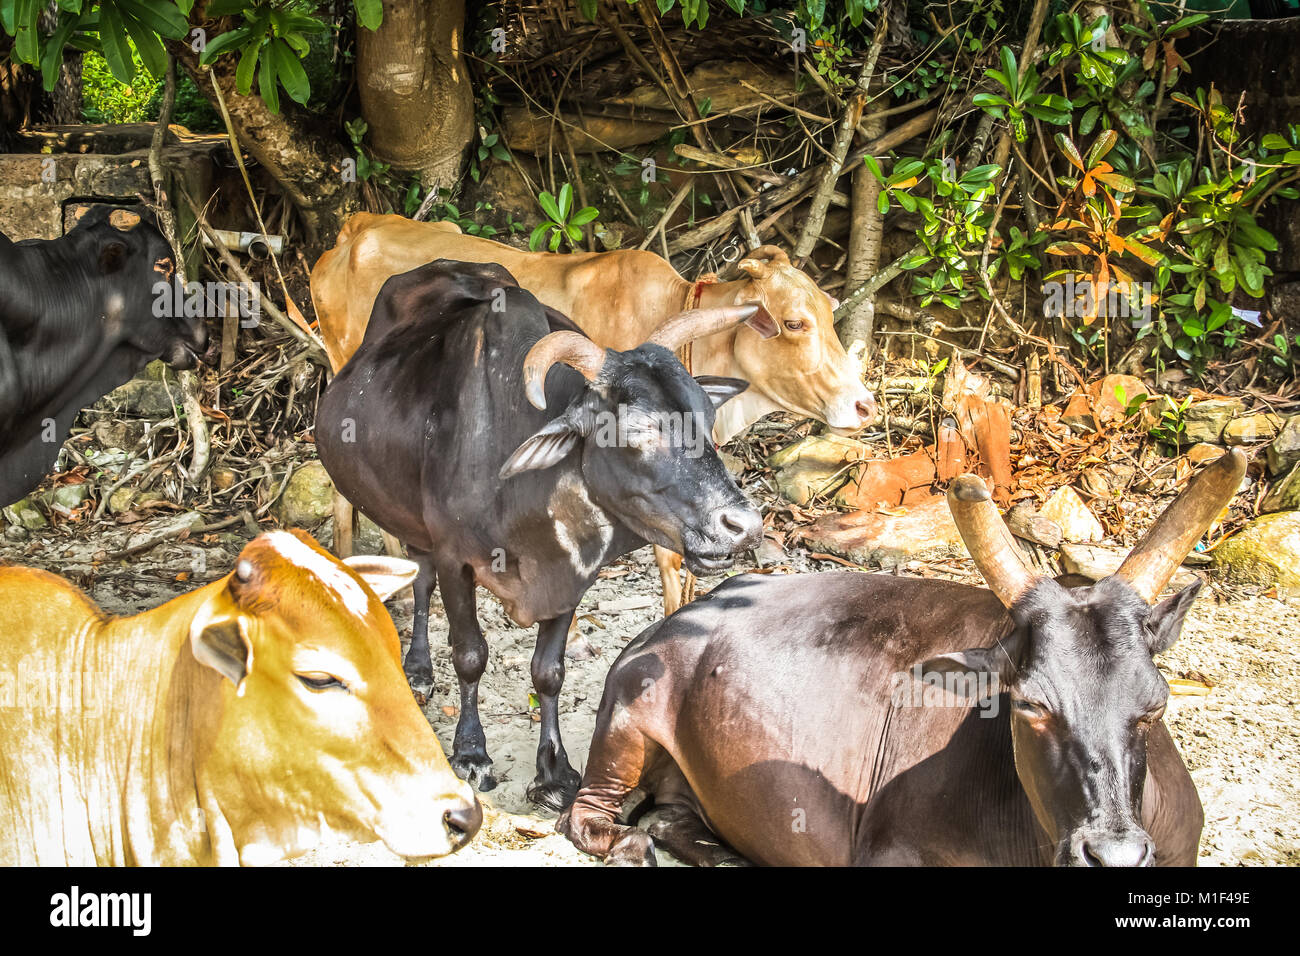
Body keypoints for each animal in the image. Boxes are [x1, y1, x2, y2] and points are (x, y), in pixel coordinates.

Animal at [315, 258, 765, 810]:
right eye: (636, 428)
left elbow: (548, 671)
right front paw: (471, 752)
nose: (742, 526)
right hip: (404, 518)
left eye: (707, 414)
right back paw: (417, 669)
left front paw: (552, 770)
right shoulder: (454, 559)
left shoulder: (572, 576)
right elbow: (470, 655)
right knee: (419, 579)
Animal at [558, 449, 1245, 866]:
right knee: (588, 817)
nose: (1113, 856)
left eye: (1155, 705)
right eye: (1031, 705)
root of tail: (675, 619)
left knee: (667, 815)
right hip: (627, 719)